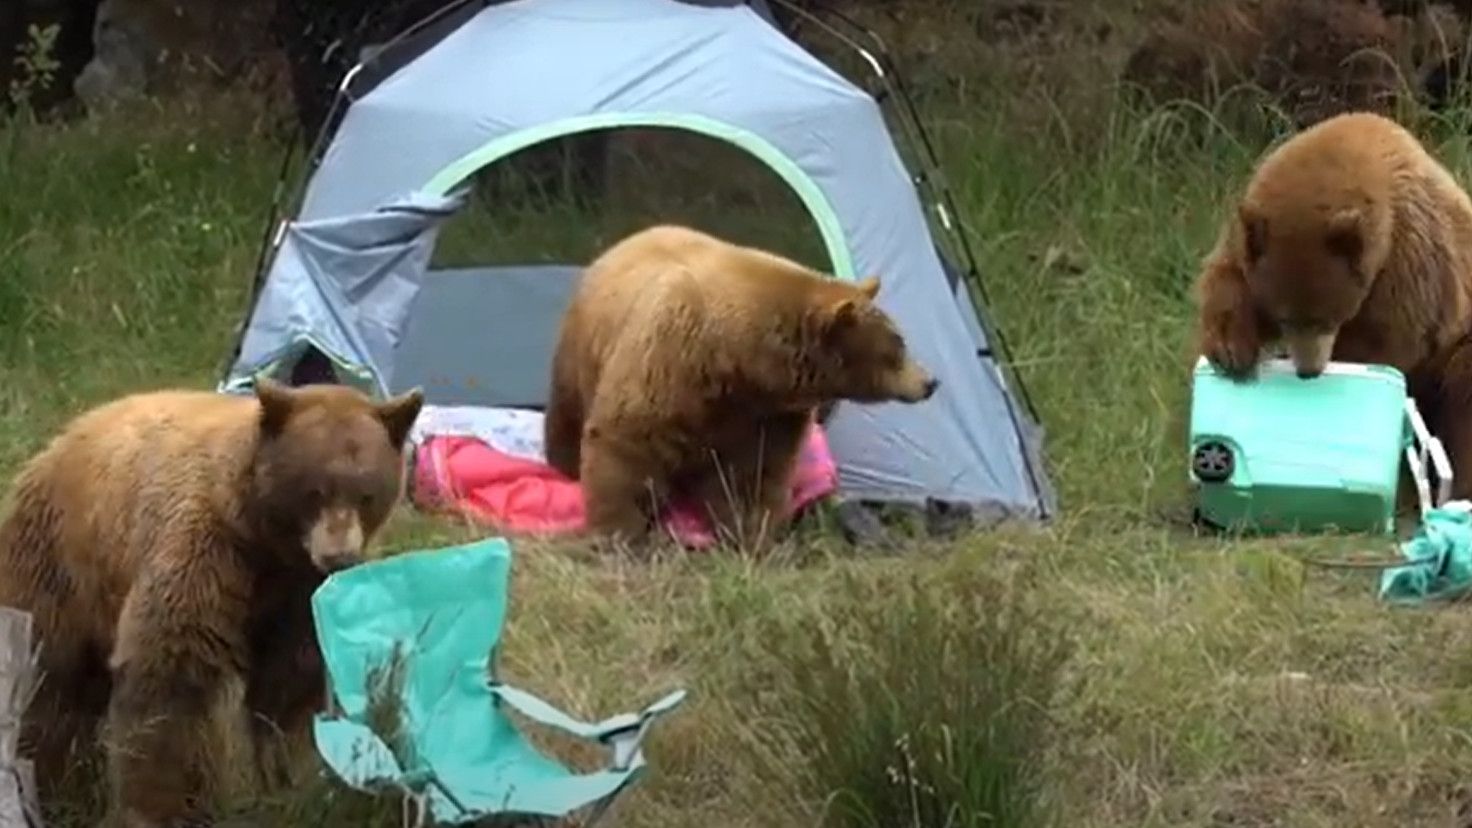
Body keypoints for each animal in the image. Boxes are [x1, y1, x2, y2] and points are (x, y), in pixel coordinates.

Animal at [0, 378, 423, 826]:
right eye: (314, 491)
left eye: (366, 494)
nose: (339, 556)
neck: (264, 540)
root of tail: (55, 444)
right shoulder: (204, 554)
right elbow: (174, 680)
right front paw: (169, 809)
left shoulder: (298, 592)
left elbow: (290, 686)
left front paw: (296, 784)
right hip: (60, 565)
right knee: (49, 685)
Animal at [542, 224, 940, 550]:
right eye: (898, 345)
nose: (930, 382)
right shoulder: (669, 361)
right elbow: (626, 441)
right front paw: (620, 532)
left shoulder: (767, 415)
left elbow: (752, 475)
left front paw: (749, 535)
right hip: (580, 353)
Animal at [1193, 110, 1472, 498]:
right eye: (1285, 317)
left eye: (1329, 318)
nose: (1308, 371)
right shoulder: (1249, 241)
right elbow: (1228, 278)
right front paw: (1231, 352)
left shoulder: (1409, 264)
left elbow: (1393, 338)